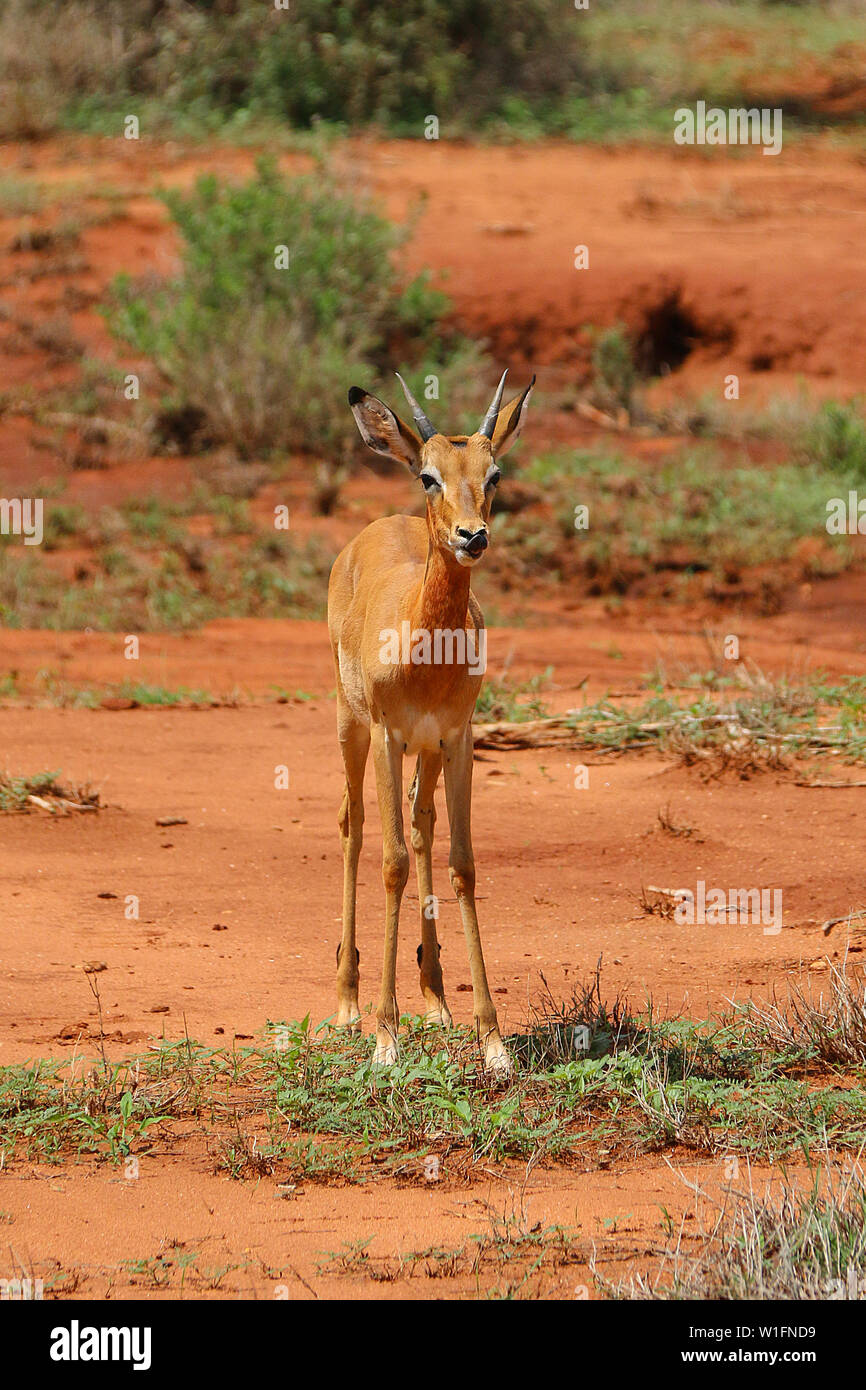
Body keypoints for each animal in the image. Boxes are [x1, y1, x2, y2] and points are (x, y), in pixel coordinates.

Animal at [328, 368, 535, 1076]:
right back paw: (348, 1005)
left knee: (421, 829)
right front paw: (386, 1039)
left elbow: (462, 864)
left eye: (493, 473)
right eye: (428, 475)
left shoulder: (457, 736)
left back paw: (437, 999)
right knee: (356, 827)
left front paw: (492, 1039)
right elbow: (388, 862)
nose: (473, 536)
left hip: (428, 751)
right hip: (351, 728)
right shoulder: (389, 736)